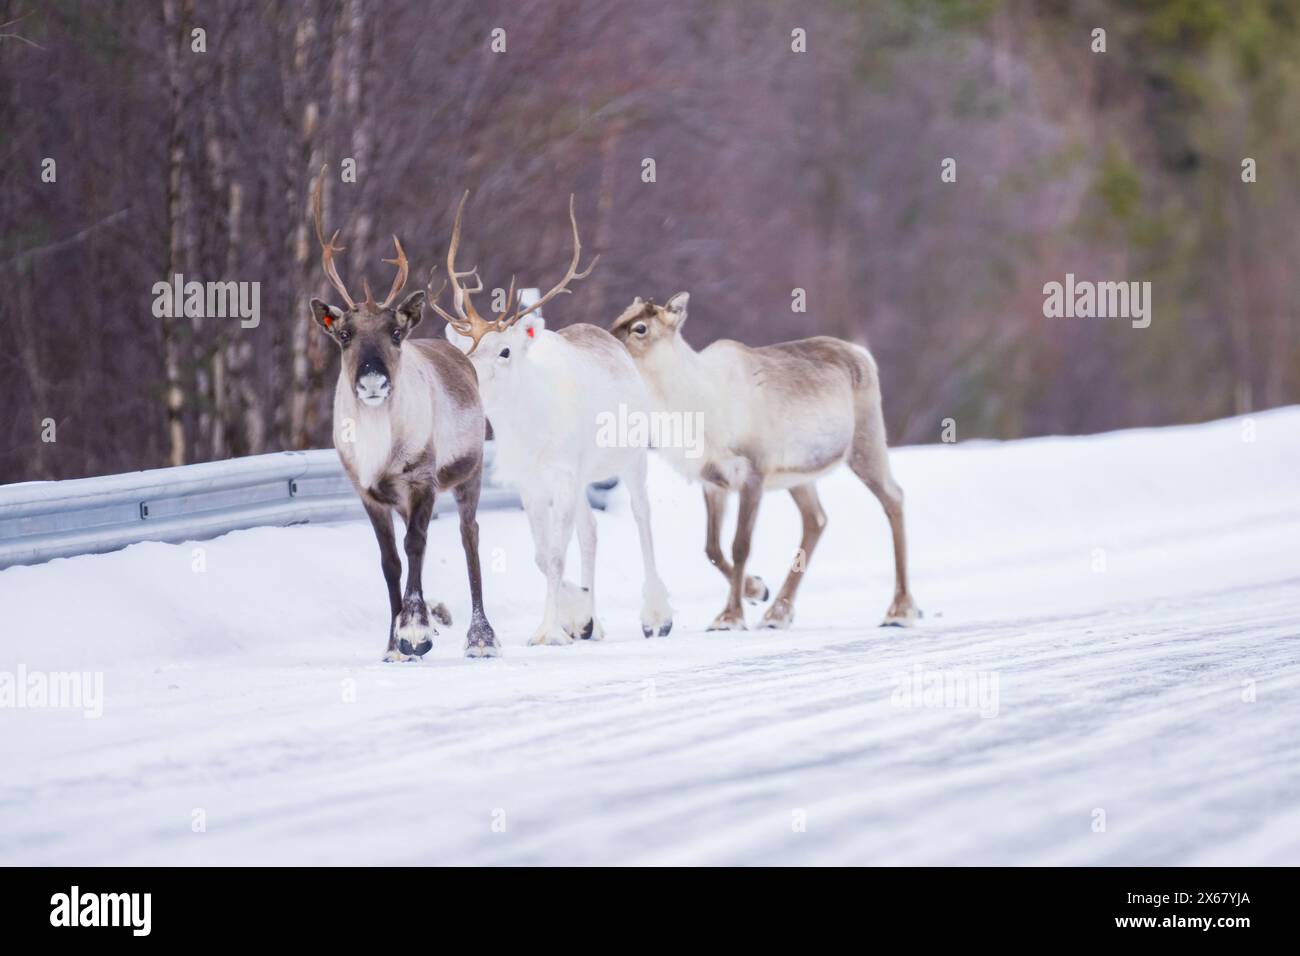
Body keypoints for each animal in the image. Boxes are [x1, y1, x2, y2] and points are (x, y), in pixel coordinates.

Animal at [307, 166, 499, 661]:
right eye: (344, 335)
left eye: (395, 332)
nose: (373, 381)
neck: (380, 445)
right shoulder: (368, 492)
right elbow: (390, 561)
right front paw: (394, 644)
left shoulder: (422, 479)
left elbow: (416, 544)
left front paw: (416, 631)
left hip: (471, 473)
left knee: (469, 537)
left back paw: (481, 637)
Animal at [430, 193, 673, 646]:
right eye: (467, 348)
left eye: (505, 350)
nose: (466, 376)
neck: (529, 428)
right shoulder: (530, 483)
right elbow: (544, 556)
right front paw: (575, 618)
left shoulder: (563, 474)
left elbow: (558, 555)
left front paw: (550, 631)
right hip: (582, 479)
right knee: (591, 530)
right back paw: (595, 623)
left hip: (632, 458)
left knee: (642, 514)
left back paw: (656, 615)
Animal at [609, 293, 920, 631]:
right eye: (617, 319)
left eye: (640, 327)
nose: (607, 342)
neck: (693, 407)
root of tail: (862, 353)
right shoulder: (713, 481)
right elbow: (712, 549)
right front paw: (757, 589)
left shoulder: (752, 474)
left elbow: (739, 546)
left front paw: (729, 617)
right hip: (797, 476)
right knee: (816, 519)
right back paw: (778, 613)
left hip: (866, 440)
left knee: (893, 497)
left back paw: (900, 609)